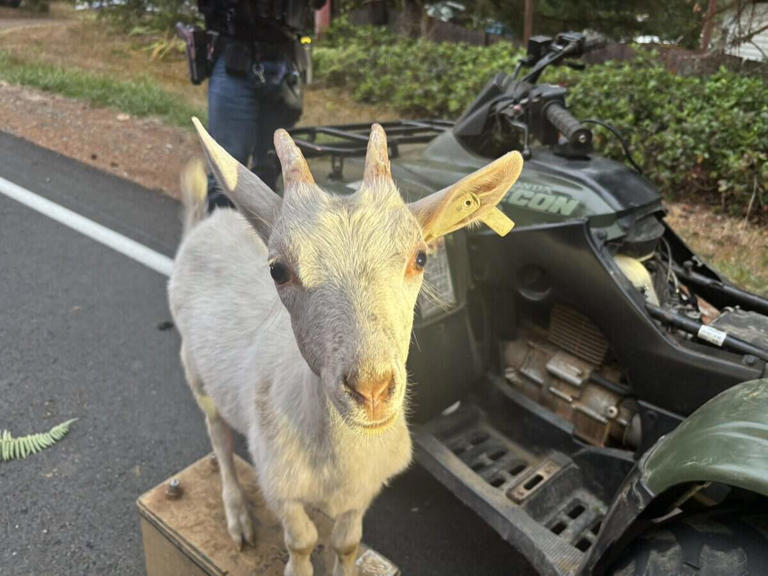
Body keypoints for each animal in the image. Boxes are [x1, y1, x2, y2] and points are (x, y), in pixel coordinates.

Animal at [168, 119, 523, 576]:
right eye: (278, 270)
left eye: (420, 258)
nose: (370, 390)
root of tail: (204, 224)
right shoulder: (280, 483)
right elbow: (301, 541)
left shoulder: (364, 491)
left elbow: (347, 541)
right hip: (196, 372)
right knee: (219, 438)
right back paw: (238, 518)